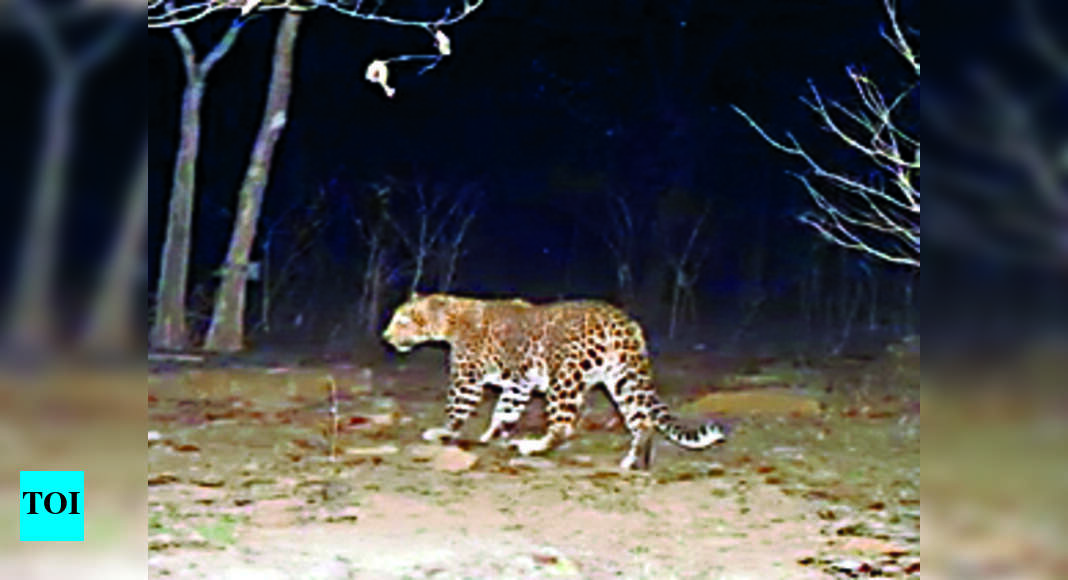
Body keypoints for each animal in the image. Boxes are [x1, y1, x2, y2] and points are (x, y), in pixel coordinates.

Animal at [382, 292, 727, 470]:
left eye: (403, 320)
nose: (386, 336)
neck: (451, 321)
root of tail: (622, 322)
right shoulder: (518, 383)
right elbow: (505, 411)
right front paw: (491, 435)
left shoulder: (467, 378)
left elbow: (457, 410)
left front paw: (443, 432)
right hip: (624, 378)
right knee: (642, 421)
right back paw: (634, 461)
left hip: (566, 376)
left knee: (563, 427)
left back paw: (533, 447)